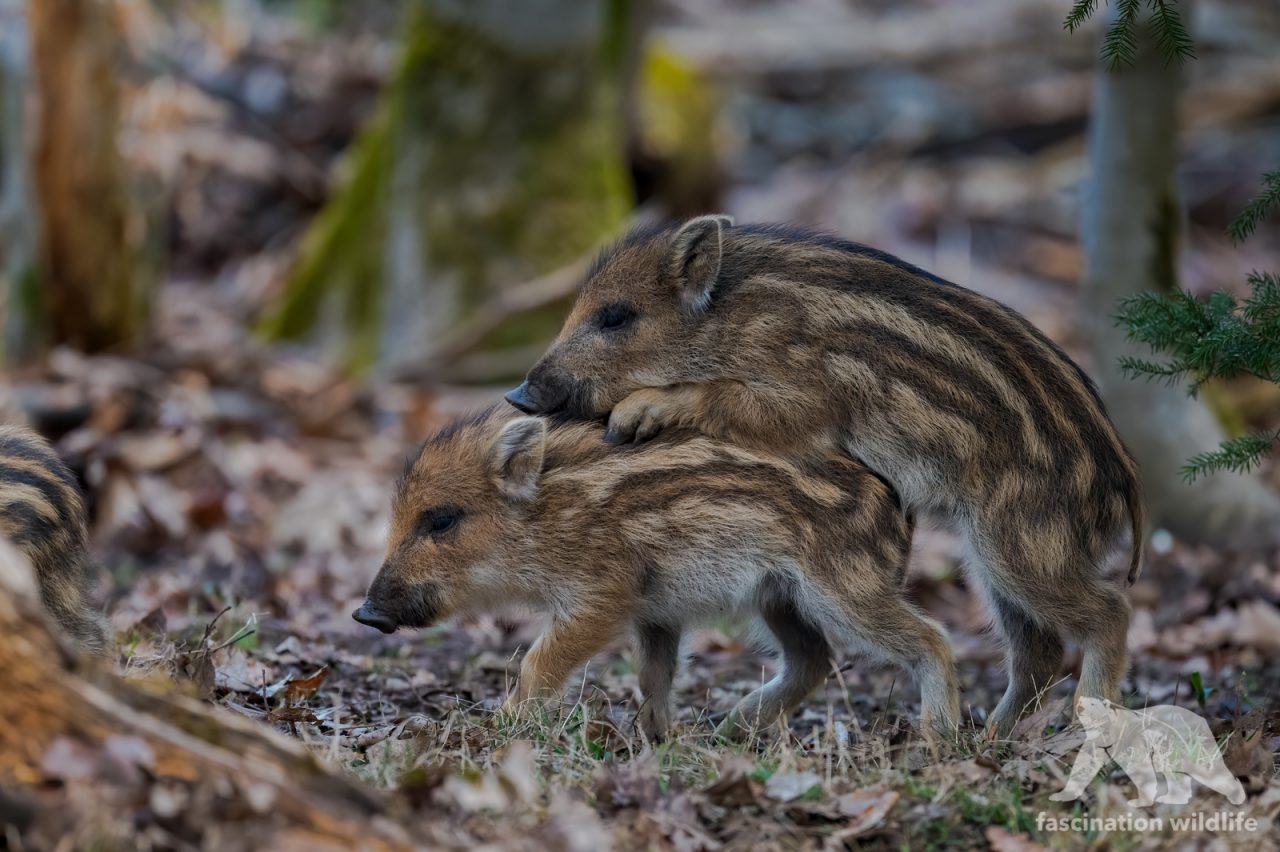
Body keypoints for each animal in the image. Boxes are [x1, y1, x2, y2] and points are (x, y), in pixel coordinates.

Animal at [354, 406, 959, 740]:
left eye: (442, 519)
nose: (364, 612)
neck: (551, 513)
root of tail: (902, 509)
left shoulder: (602, 595)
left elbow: (539, 660)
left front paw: (504, 727)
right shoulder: (656, 610)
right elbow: (654, 674)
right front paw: (657, 738)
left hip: (844, 587)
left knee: (932, 637)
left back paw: (939, 738)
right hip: (782, 598)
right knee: (813, 658)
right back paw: (729, 729)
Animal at [505, 216, 1143, 736]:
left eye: (616, 316)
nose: (519, 394)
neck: (731, 320)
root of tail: (1122, 482)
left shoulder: (807, 400)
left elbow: (725, 397)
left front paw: (634, 415)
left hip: (1022, 541)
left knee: (1110, 610)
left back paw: (1080, 725)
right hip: (996, 555)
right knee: (1038, 648)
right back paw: (989, 736)